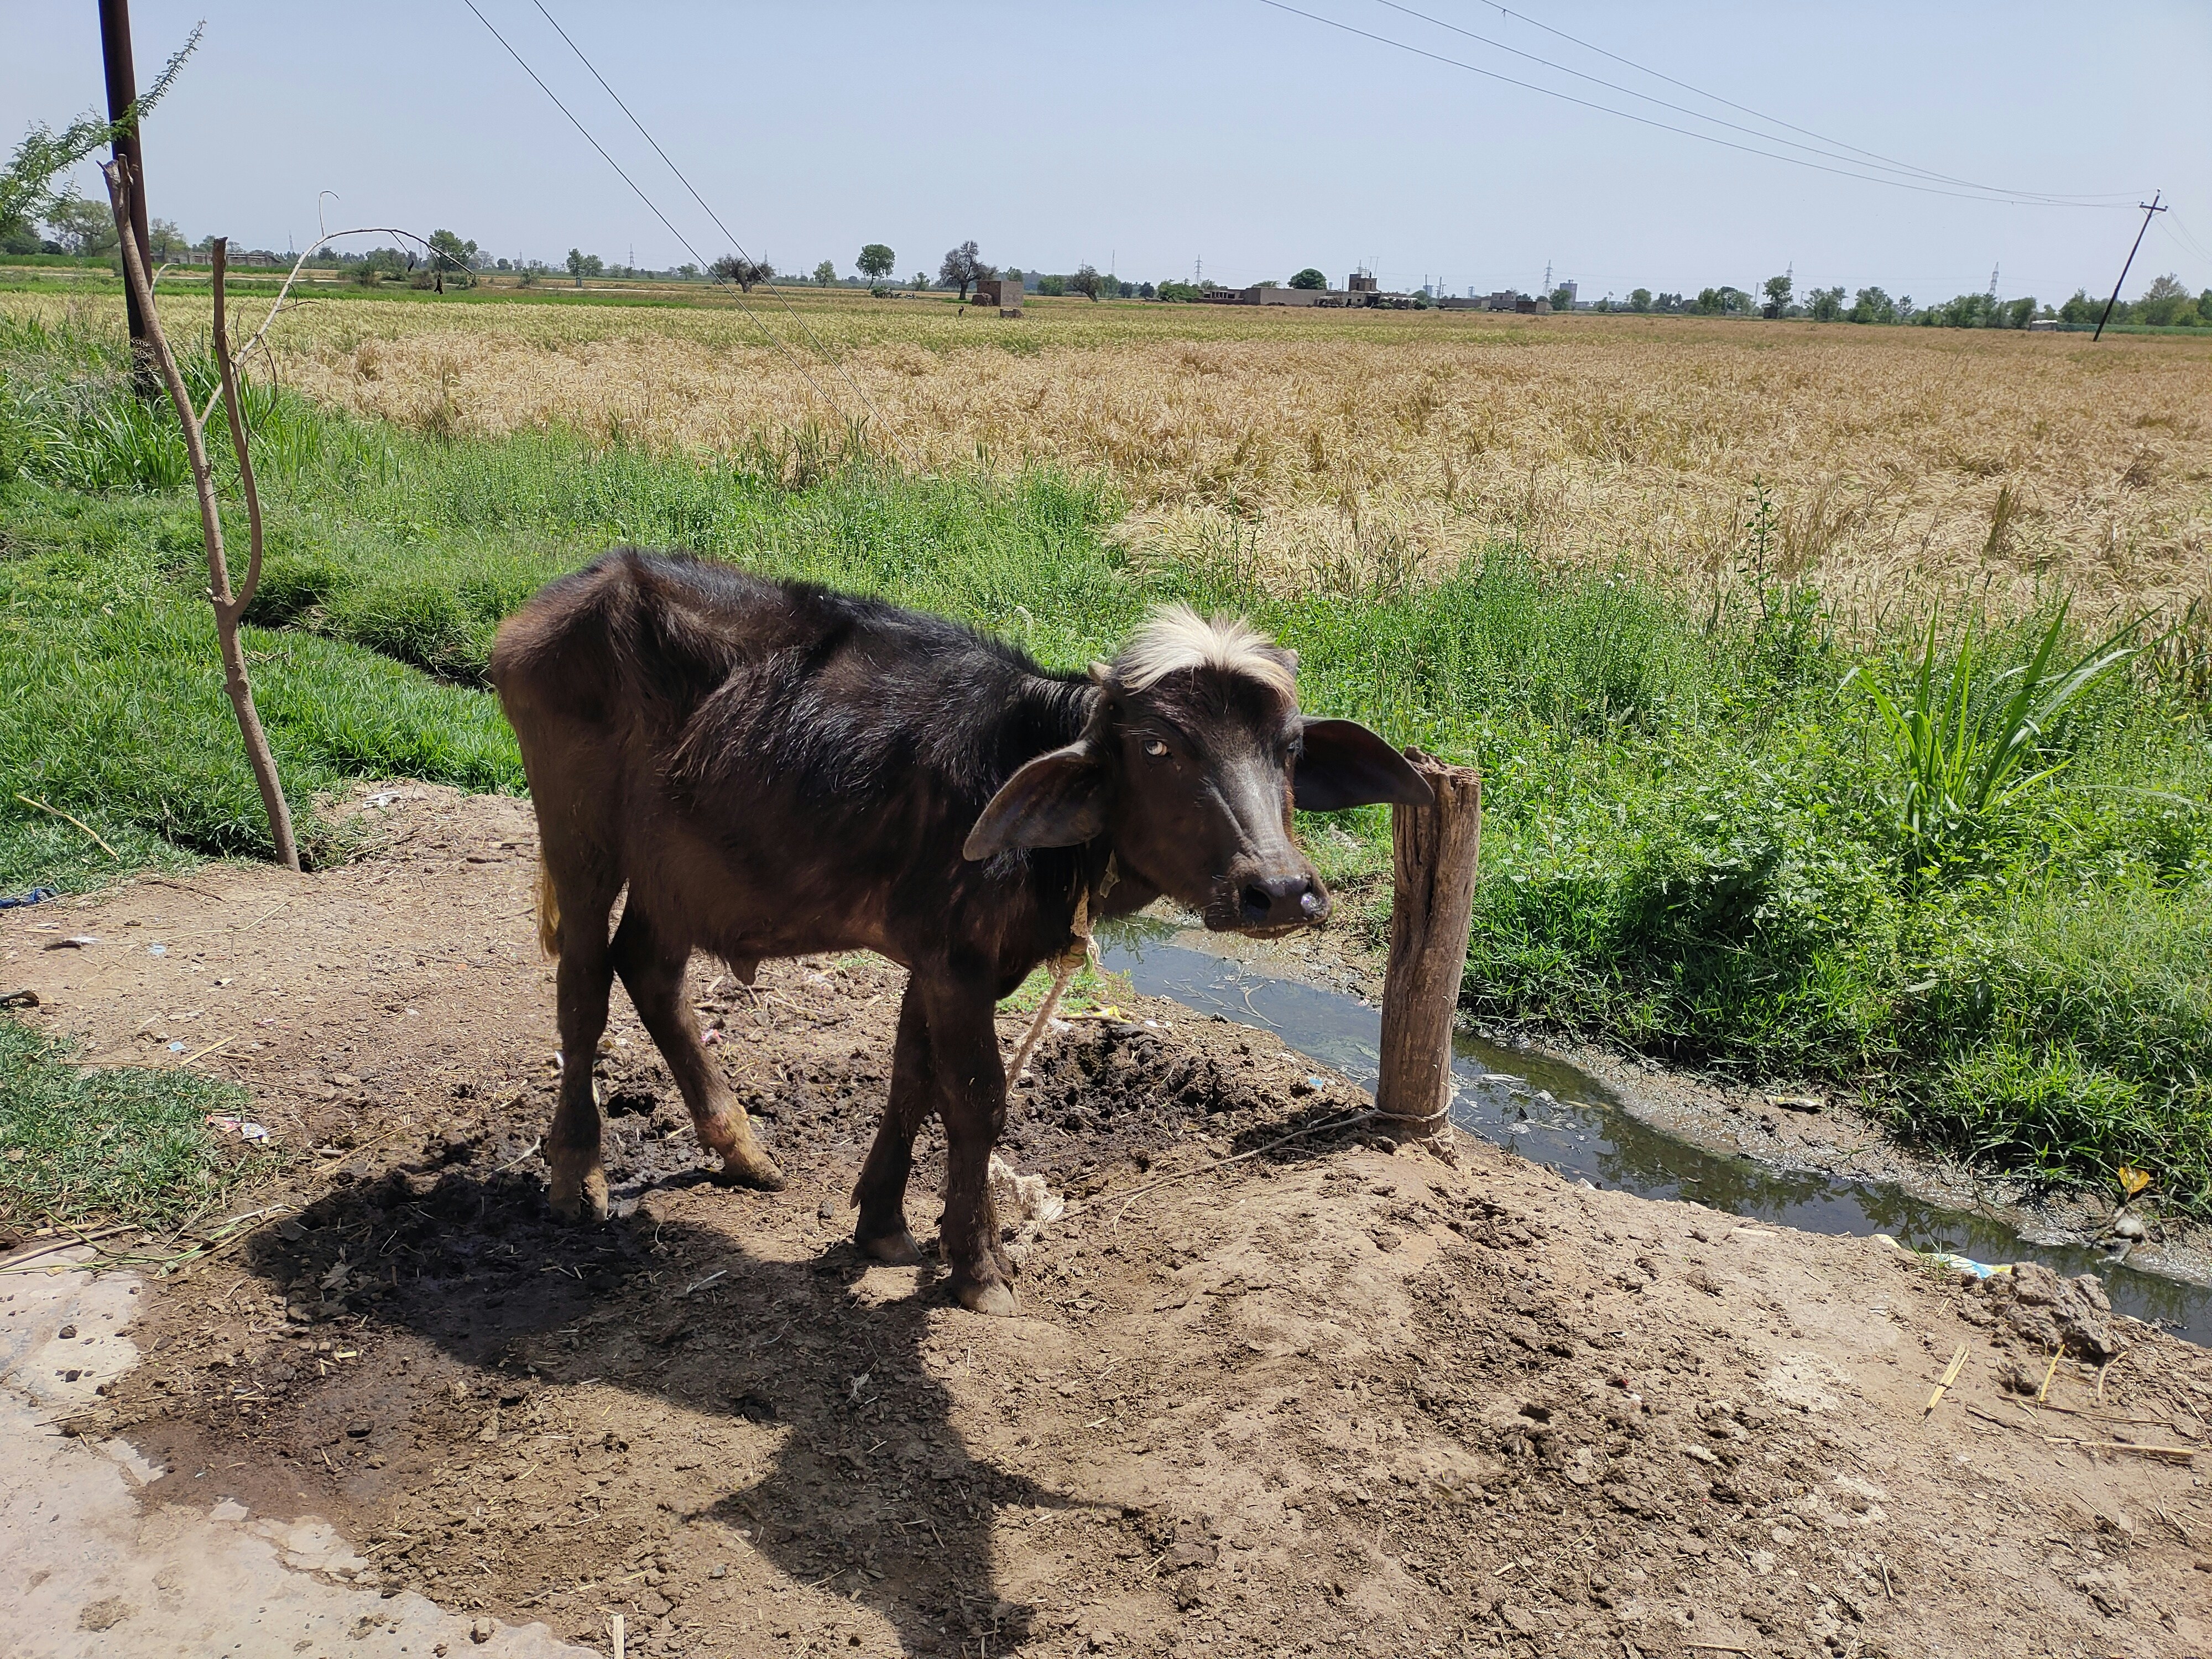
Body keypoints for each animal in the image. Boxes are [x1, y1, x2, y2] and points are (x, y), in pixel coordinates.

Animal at [489, 549, 1430, 1314]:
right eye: (1160, 748)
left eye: (1290, 747)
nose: (1279, 890)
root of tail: (571, 594)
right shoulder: (960, 968)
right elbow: (975, 1099)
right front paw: (979, 1266)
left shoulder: (940, 962)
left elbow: (913, 1080)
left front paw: (885, 1225)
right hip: (580, 836)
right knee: (584, 985)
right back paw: (578, 1172)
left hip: (677, 869)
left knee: (648, 969)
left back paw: (744, 1148)